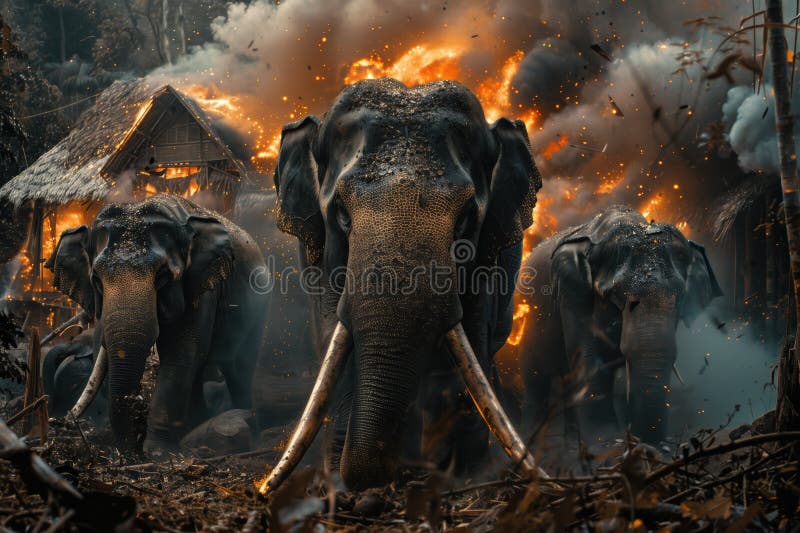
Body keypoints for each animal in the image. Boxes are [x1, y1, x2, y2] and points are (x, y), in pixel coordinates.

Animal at [45, 195, 269, 454]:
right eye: (97, 281)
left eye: (162, 276)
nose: (56, 421)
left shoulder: (201, 289)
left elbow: (180, 354)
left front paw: (156, 452)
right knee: (200, 372)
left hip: (259, 307)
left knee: (238, 368)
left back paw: (248, 424)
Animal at [259, 78, 543, 492]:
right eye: (342, 215)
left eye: (465, 219)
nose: (261, 488)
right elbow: (334, 337)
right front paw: (338, 482)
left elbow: (471, 335)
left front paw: (463, 476)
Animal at [516, 205, 722, 444]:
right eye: (614, 296)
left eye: (679, 298)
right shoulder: (572, 294)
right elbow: (591, 365)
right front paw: (608, 442)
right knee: (535, 383)